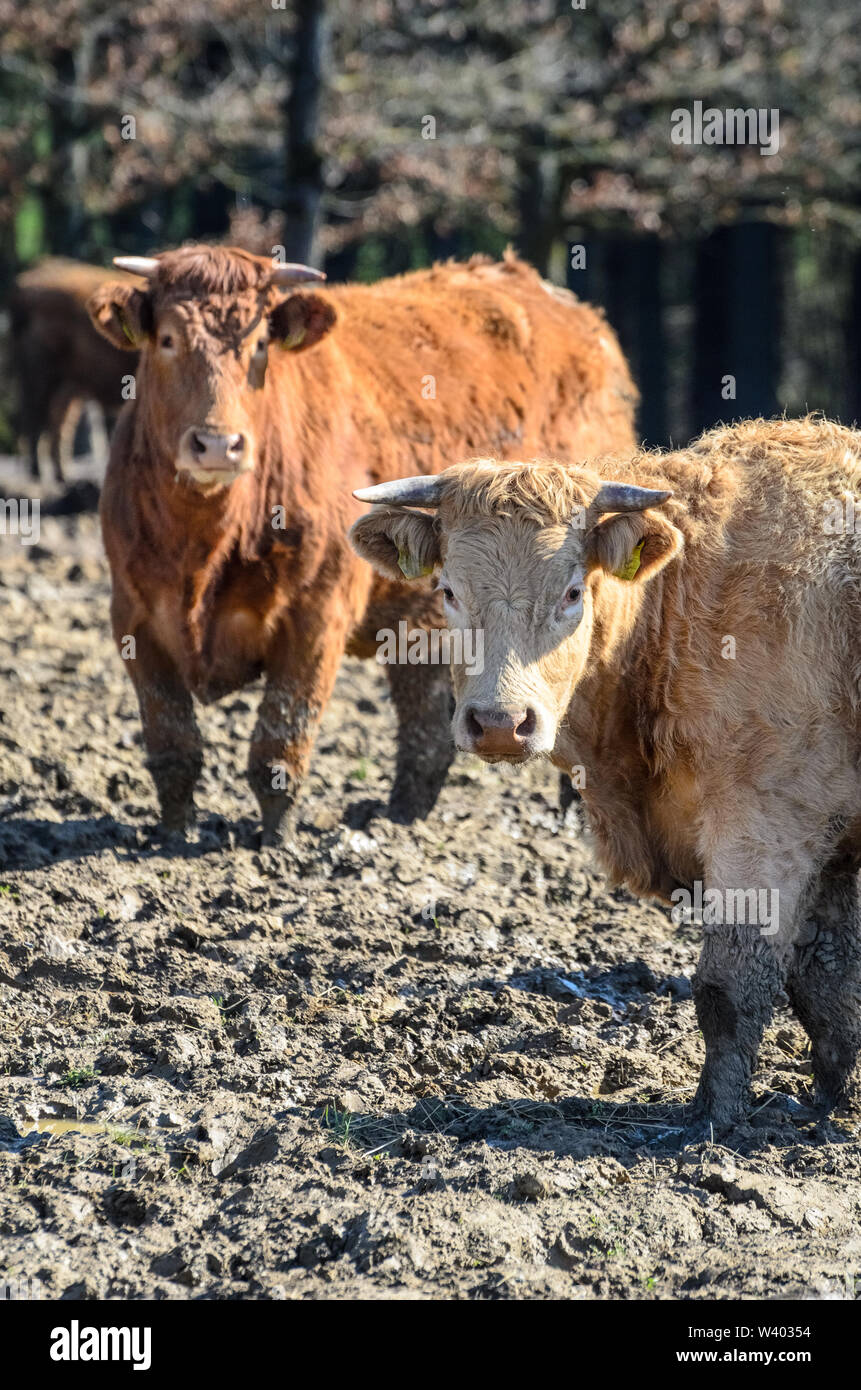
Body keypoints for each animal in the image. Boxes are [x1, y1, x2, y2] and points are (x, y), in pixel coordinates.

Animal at [9, 258, 143, 482]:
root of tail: (23, 285)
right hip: (40, 373)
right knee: (34, 413)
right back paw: (38, 472)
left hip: (67, 385)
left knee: (58, 421)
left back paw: (61, 474)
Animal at [86, 244, 636, 844]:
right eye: (167, 339)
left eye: (259, 348)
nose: (217, 444)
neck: (206, 543)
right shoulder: (134, 616)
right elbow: (172, 743)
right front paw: (170, 836)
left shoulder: (314, 616)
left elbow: (280, 740)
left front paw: (274, 843)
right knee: (425, 729)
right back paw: (401, 819)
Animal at [349, 416, 861, 1136]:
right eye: (449, 591)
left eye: (570, 592)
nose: (500, 722)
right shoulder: (831, 842)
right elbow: (828, 986)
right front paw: (828, 1105)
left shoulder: (764, 826)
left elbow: (731, 988)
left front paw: (710, 1123)